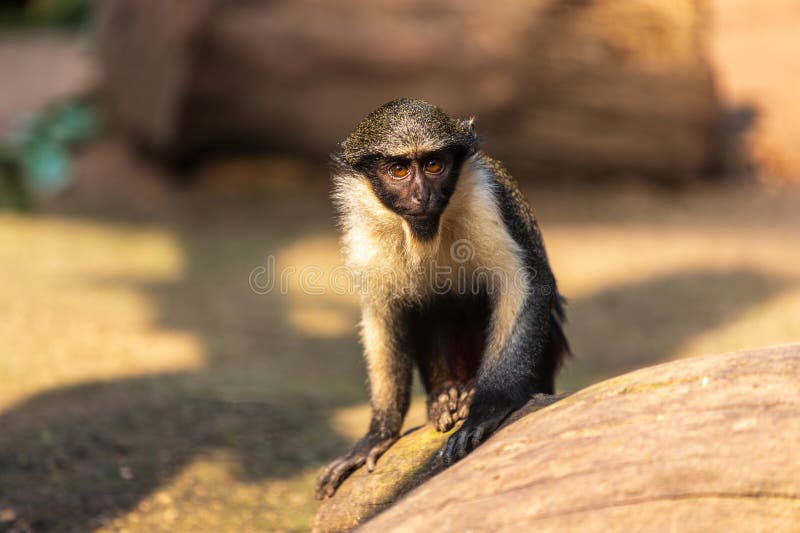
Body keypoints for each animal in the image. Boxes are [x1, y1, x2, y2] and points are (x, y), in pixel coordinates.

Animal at [315, 98, 569, 499]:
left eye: (434, 165)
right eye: (399, 169)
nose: (422, 196)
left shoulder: (488, 197)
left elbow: (526, 283)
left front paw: (488, 407)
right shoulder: (363, 234)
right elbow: (385, 312)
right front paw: (379, 433)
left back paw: (467, 395)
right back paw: (446, 395)